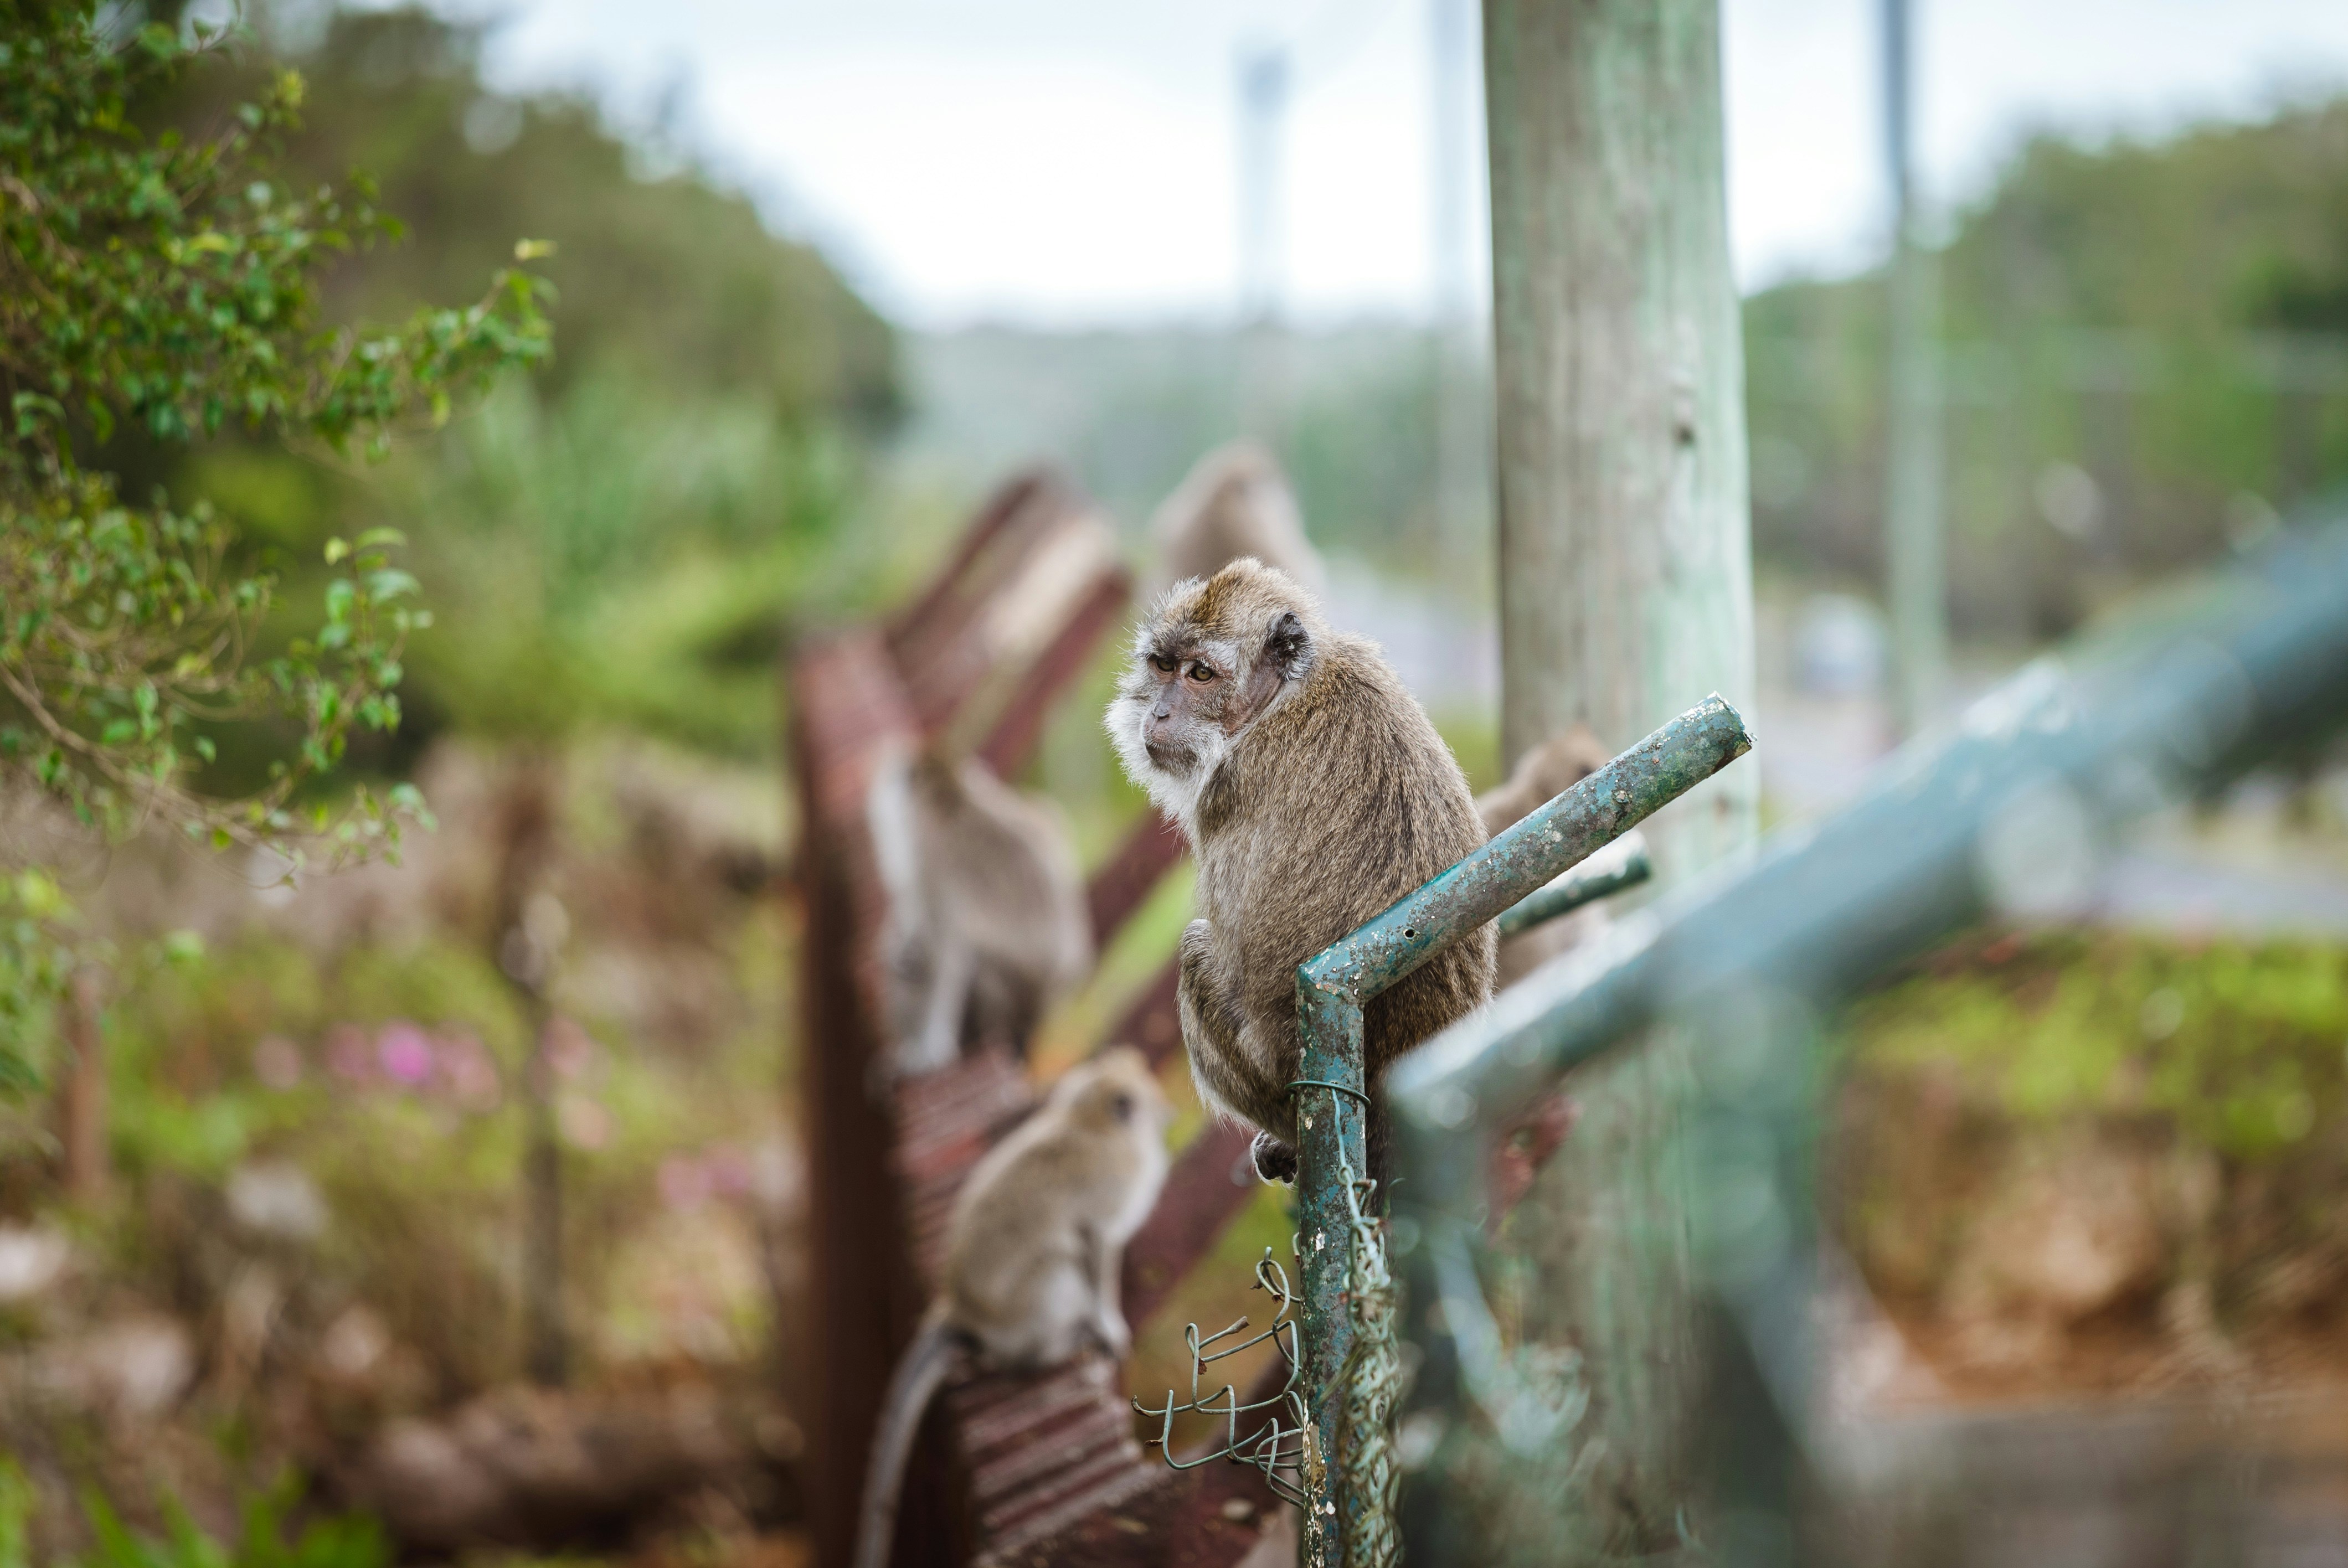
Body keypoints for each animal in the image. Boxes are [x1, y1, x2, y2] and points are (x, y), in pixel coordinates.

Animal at [854, 1047, 1171, 1568]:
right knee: (1059, 1267)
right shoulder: (1108, 1200)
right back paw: (1056, 1347)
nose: (1168, 1113)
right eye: (1145, 1101)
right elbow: (1097, 1250)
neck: (1087, 1124)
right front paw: (1108, 1326)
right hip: (1029, 1305)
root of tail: (958, 1308)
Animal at [1104, 557, 1494, 1184]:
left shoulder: (1225, 789)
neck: (1283, 697)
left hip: (1276, 1080)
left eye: (1201, 674)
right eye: (1163, 665)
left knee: (1196, 950)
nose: (1159, 712)